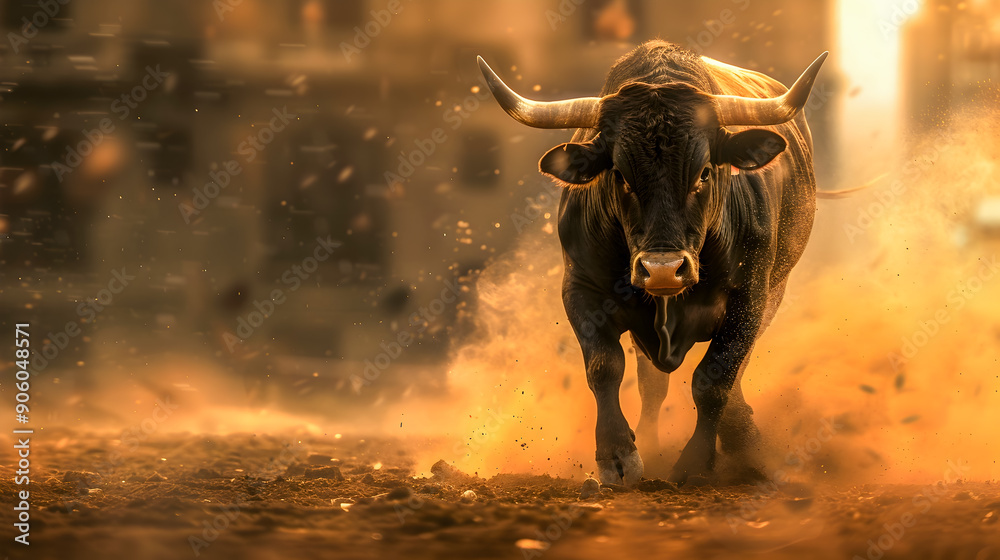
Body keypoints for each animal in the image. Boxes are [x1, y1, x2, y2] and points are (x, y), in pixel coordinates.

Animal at [478, 40, 829, 486]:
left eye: (704, 173)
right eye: (619, 175)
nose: (663, 269)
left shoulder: (751, 295)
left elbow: (715, 378)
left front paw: (696, 462)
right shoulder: (580, 291)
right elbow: (604, 366)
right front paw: (618, 457)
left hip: (773, 293)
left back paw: (742, 439)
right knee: (652, 384)